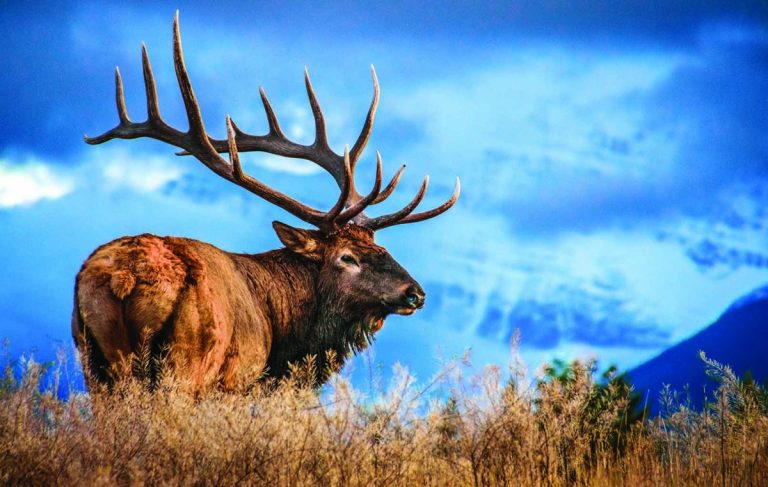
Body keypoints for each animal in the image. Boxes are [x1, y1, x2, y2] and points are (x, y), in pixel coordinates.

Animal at [72, 13, 459, 392]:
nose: (415, 293)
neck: (282, 335)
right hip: (185, 364)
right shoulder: (236, 379)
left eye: (383, 249)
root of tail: (125, 277)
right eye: (347, 257)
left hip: (94, 362)